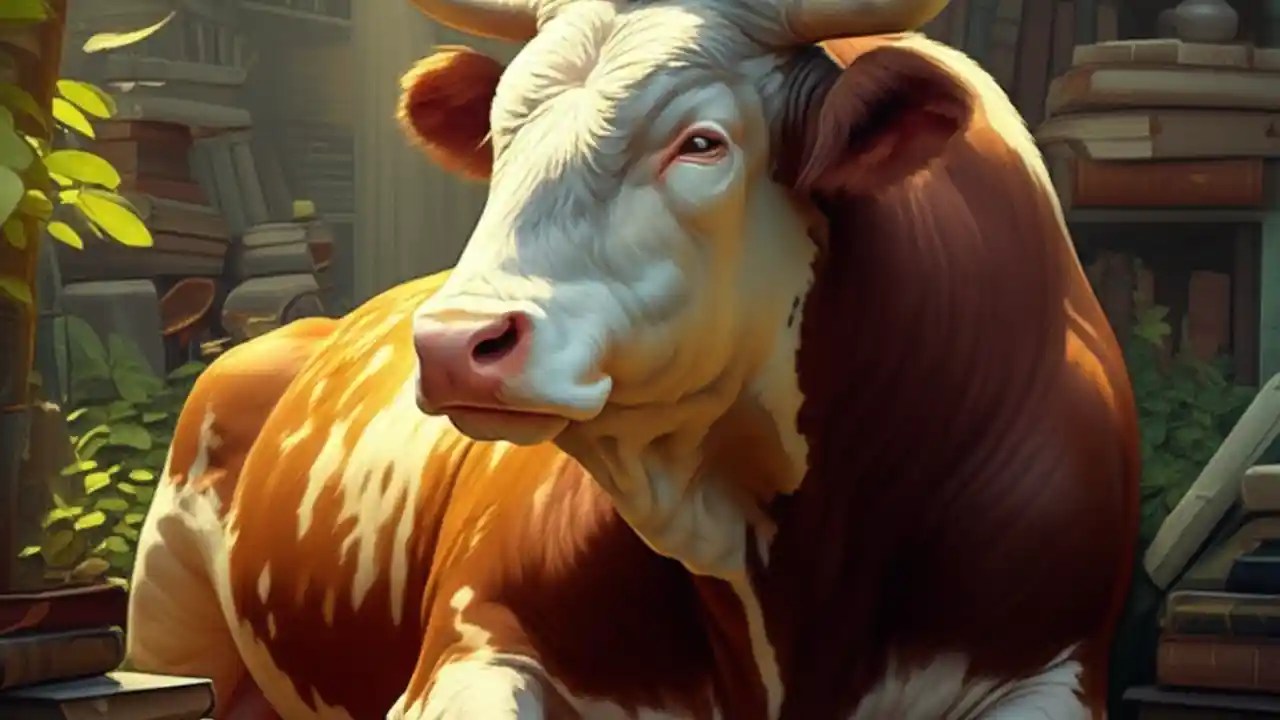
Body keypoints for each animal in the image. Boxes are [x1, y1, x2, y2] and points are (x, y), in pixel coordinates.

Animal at [124, 0, 1140, 718]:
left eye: (702, 143)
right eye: (498, 140)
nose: (455, 344)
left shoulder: (1048, 669)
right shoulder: (473, 643)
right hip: (168, 629)